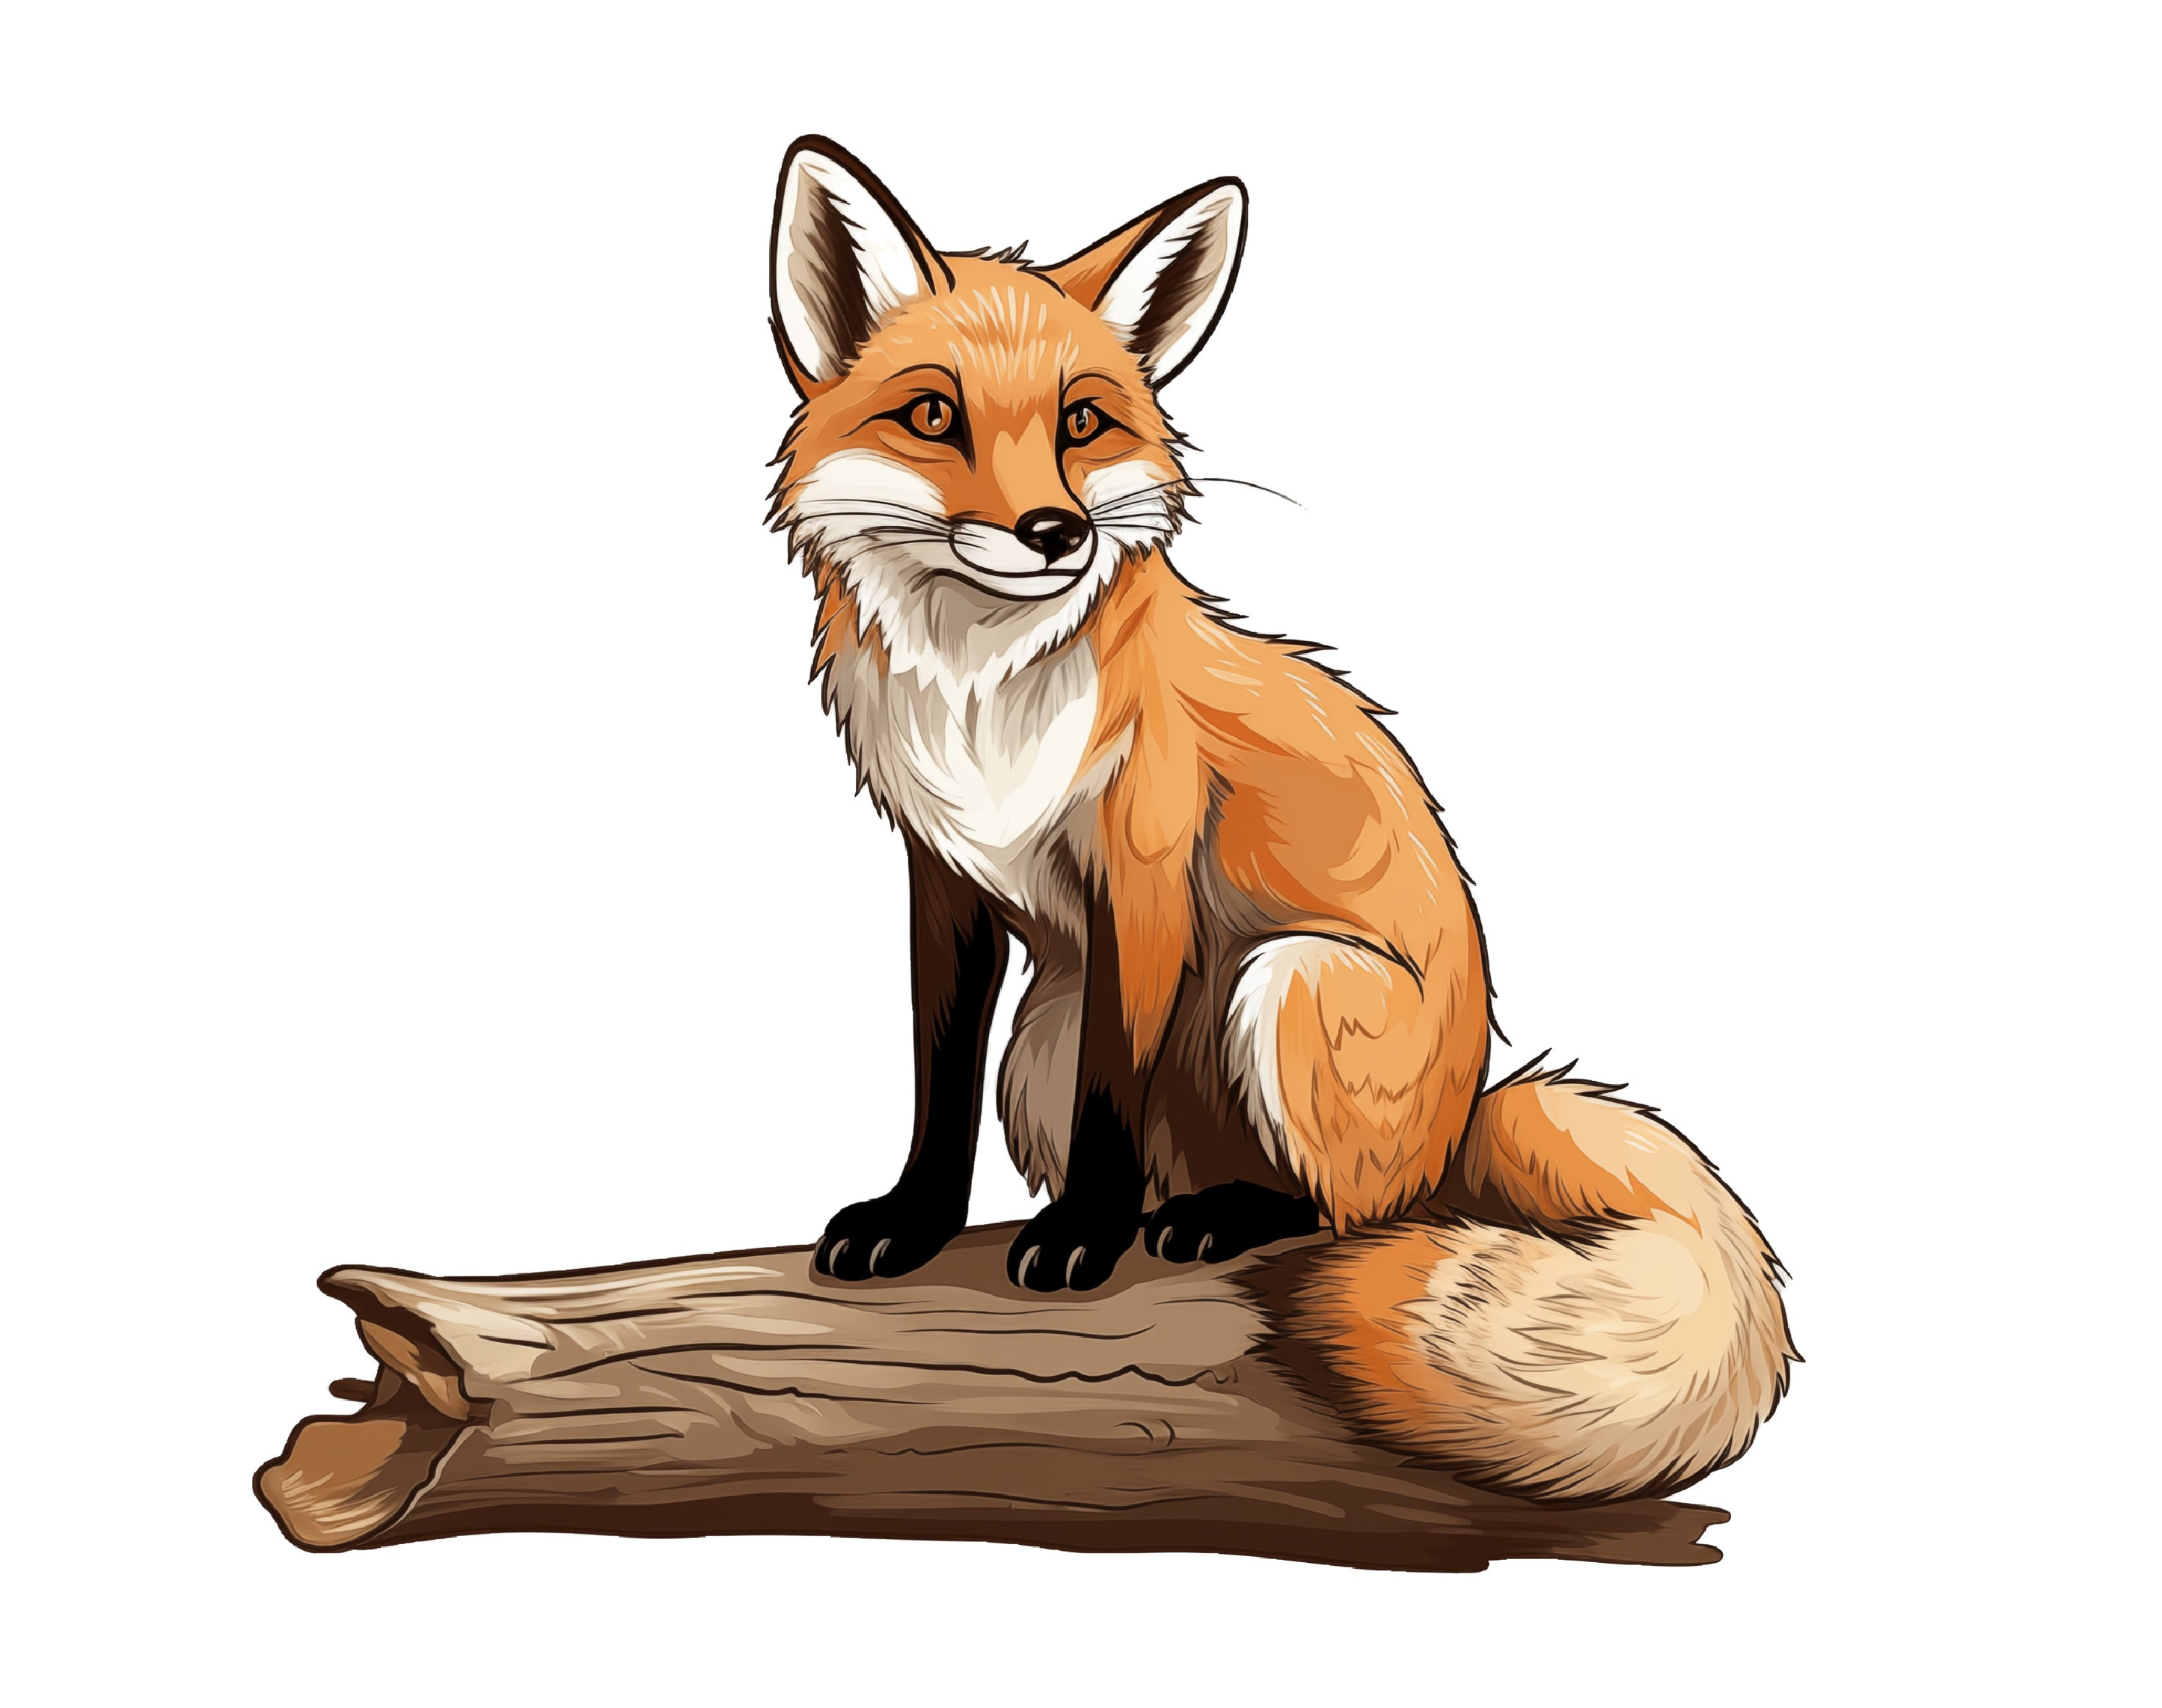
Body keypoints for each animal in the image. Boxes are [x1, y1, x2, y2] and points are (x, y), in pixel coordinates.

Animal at [765, 136, 1794, 1503]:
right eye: (934, 415)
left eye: (1081, 422)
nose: (1056, 532)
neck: (984, 703)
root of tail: (1467, 1112)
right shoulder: (944, 878)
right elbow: (938, 1079)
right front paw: (912, 1221)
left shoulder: (1142, 872)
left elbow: (1110, 1097)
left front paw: (1082, 1235)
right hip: (1045, 1028)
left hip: (1289, 979)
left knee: (1353, 1209)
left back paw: (1217, 1219)